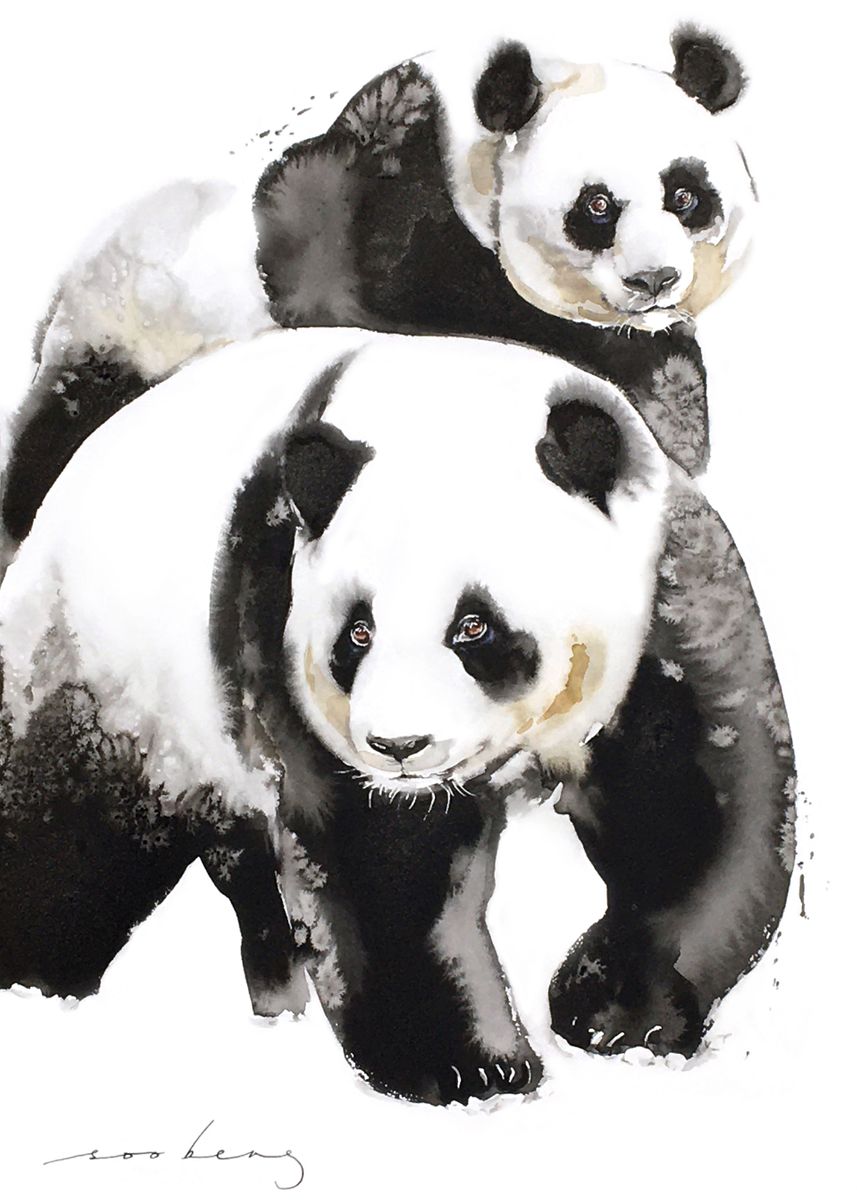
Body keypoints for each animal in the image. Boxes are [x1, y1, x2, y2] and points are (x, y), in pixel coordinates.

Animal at [0, 329, 793, 1104]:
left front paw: (613, 1013)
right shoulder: (276, 615)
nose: (399, 745)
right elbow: (382, 863)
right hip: (107, 679)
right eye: (358, 633)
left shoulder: (663, 606)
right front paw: (467, 1068)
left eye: (473, 626)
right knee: (62, 849)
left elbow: (687, 811)